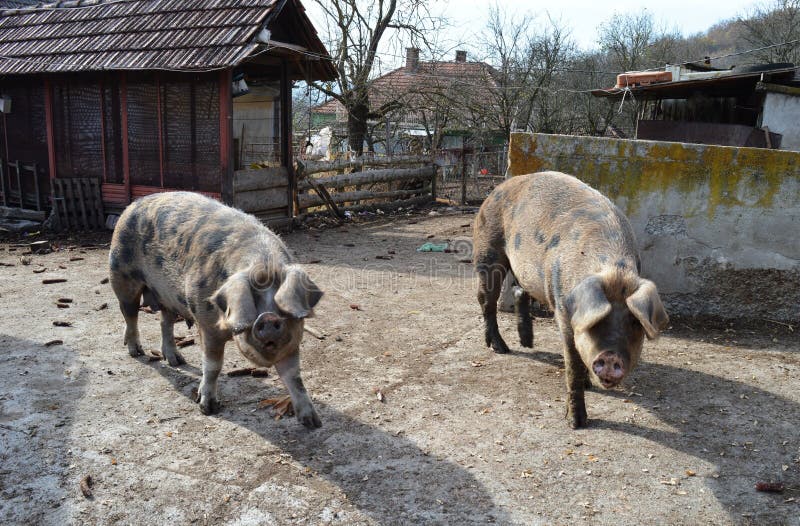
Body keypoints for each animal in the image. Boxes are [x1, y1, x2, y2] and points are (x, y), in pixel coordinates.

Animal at [108, 192, 323, 428]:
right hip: (121, 275)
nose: (268, 318)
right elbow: (212, 366)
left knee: (165, 322)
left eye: (282, 307)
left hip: (168, 298)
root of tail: (133, 205)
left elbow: (294, 377)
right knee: (130, 316)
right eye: (252, 302)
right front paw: (208, 408)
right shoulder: (207, 324)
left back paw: (176, 360)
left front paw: (313, 422)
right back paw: (137, 352)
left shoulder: (291, 343)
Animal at [473, 171, 668, 428]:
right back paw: (501, 348)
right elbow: (572, 366)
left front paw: (588, 385)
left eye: (635, 323)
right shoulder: (565, 314)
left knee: (519, 292)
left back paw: (527, 343)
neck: (614, 270)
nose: (610, 356)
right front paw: (576, 423)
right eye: (597, 321)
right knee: (486, 301)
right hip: (488, 251)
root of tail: (497, 189)